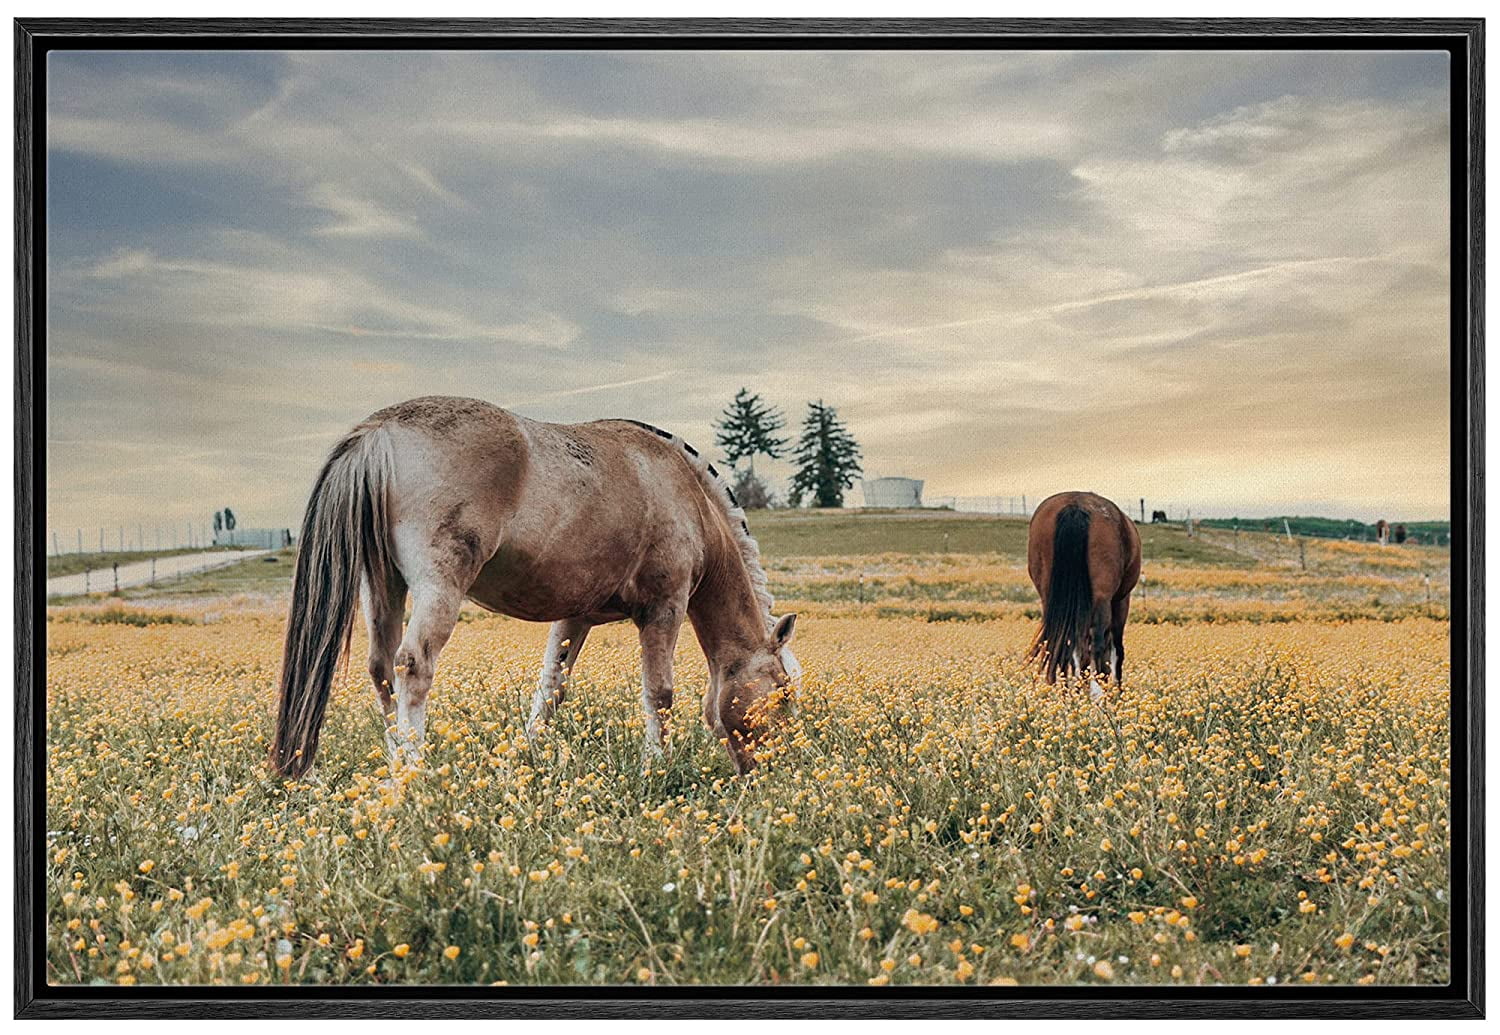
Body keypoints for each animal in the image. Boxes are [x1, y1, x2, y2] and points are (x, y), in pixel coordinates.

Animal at [270, 396, 801, 779]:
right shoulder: (664, 608)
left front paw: (527, 755)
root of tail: (379, 430)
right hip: (439, 585)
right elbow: (659, 693)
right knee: (411, 666)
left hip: (383, 584)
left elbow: (551, 689)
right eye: (782, 695)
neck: (686, 496)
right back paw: (415, 773)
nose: (771, 772)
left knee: (381, 669)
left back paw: (396, 760)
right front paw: (657, 766)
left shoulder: (576, 617)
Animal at [1025, 491, 1141, 703]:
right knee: (1097, 645)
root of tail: (1075, 506)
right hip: (1103, 599)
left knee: (1062, 644)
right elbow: (1116, 651)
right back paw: (1096, 692)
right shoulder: (1120, 601)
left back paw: (1066, 693)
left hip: (1051, 599)